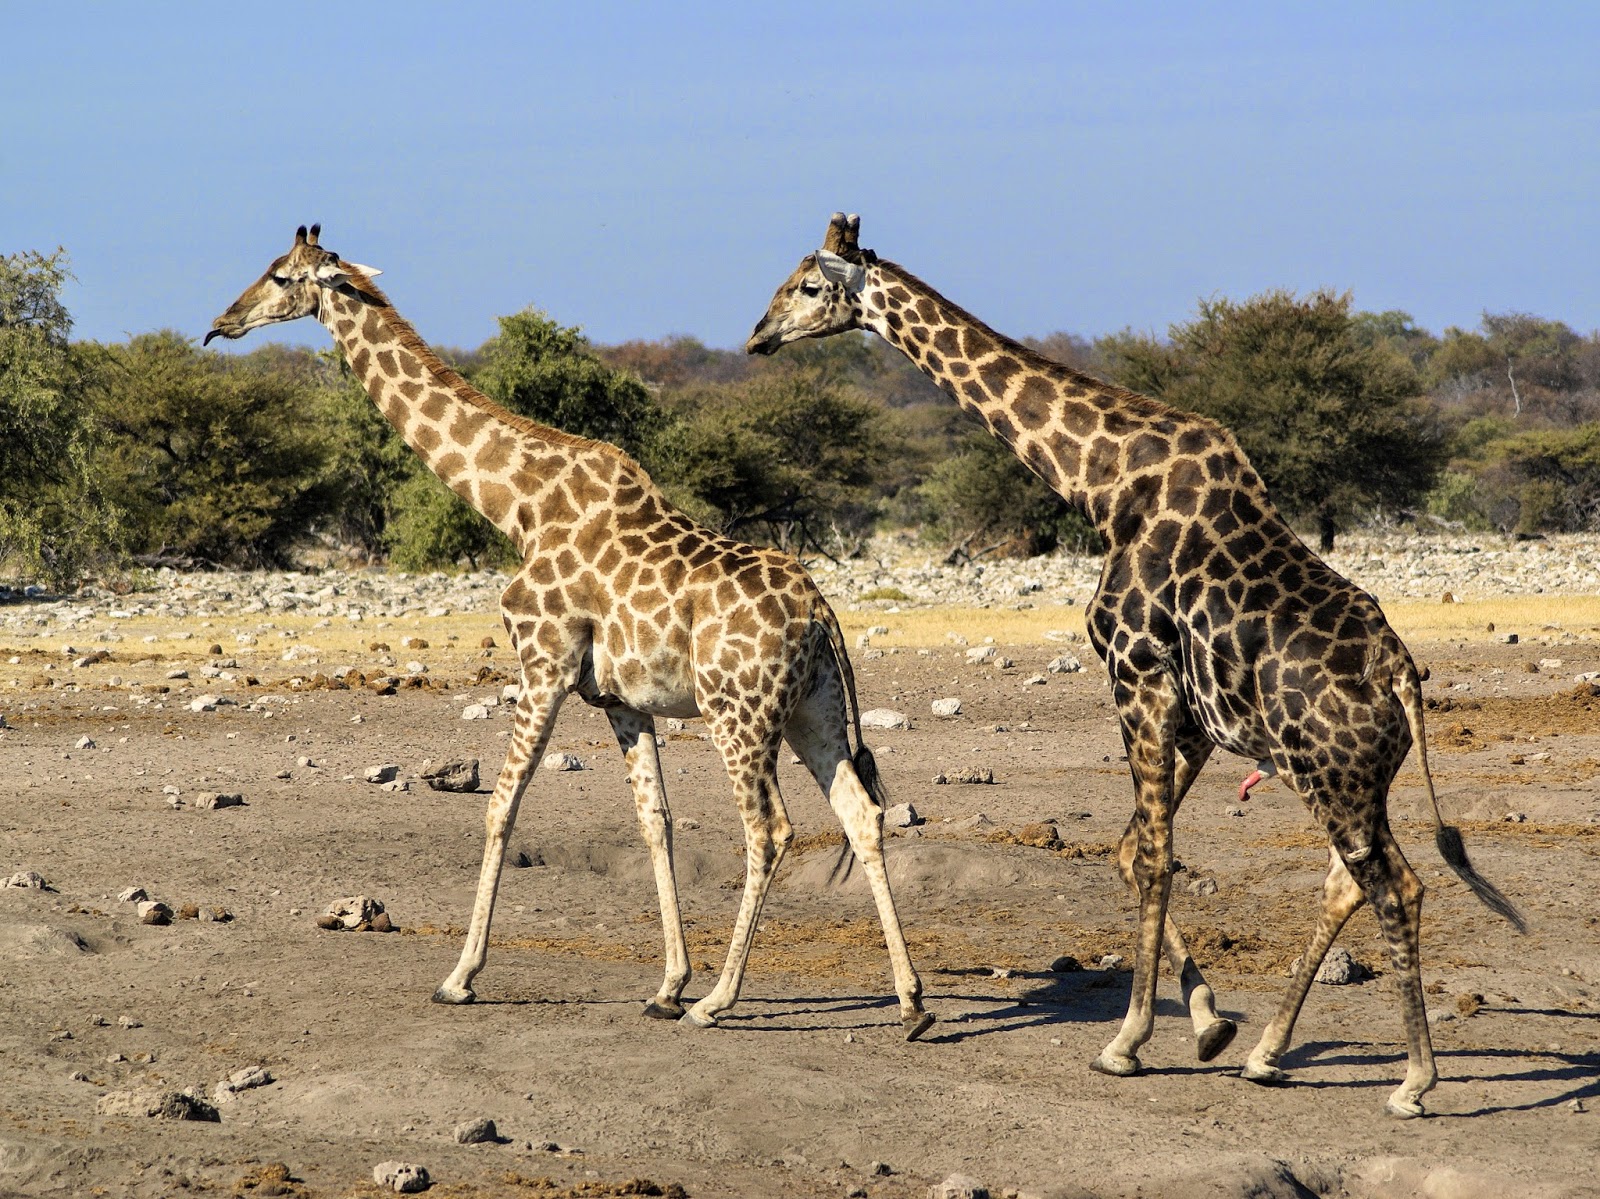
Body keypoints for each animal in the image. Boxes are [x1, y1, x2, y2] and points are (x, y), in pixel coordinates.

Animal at [206, 224, 934, 1039]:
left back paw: (720, 1001)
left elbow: (502, 804)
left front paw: (460, 976)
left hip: (737, 712)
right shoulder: (619, 699)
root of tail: (820, 611)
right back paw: (910, 1003)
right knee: (862, 814)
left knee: (771, 830)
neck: (516, 504)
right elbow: (656, 820)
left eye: (278, 275)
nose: (221, 323)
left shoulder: (543, 661)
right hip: (812, 709)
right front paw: (666, 982)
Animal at [746, 213, 1524, 1117]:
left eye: (807, 285)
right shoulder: (1194, 717)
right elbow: (1130, 848)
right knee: (1351, 881)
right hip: (1351, 778)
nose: (757, 336)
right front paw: (1209, 1023)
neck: (1104, 484)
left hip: (1332, 775)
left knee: (1395, 885)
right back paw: (1268, 1054)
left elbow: (1153, 855)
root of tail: (1401, 674)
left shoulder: (1135, 670)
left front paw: (1126, 1040)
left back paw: (1413, 1079)